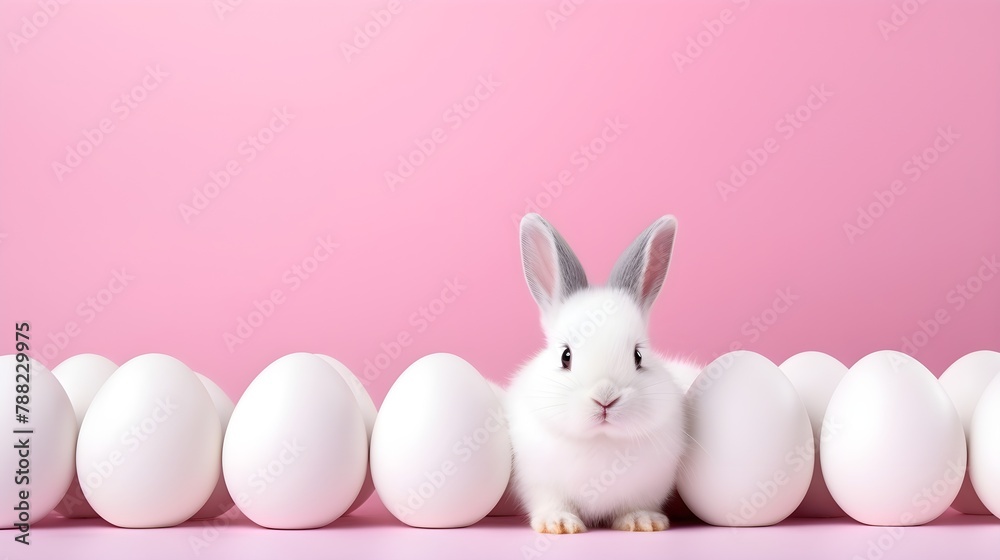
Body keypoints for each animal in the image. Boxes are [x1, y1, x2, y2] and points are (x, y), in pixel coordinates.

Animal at [505, 213, 697, 534]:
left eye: (638, 356)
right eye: (565, 356)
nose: (605, 398)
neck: (601, 439)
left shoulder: (648, 487)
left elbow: (635, 506)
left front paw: (642, 521)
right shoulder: (540, 484)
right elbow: (552, 503)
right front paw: (559, 524)